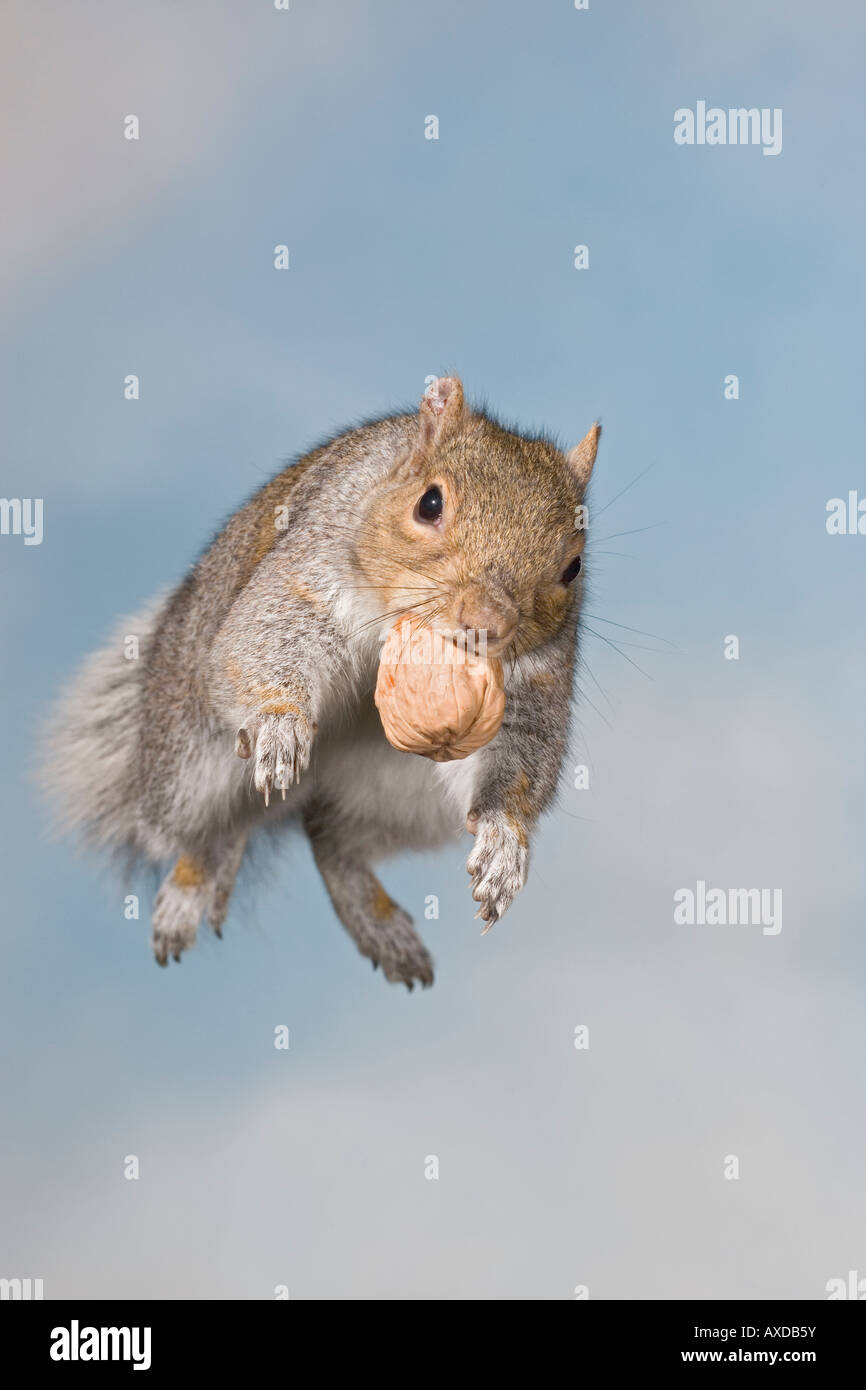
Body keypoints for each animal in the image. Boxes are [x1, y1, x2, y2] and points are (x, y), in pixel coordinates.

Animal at [43, 376, 599, 988]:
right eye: (429, 504)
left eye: (573, 568)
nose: (488, 623)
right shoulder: (309, 570)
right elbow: (268, 635)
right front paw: (280, 724)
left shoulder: (534, 680)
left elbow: (520, 749)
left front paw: (504, 841)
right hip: (184, 768)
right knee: (206, 831)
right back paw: (192, 885)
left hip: (400, 798)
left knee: (331, 838)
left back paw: (377, 921)